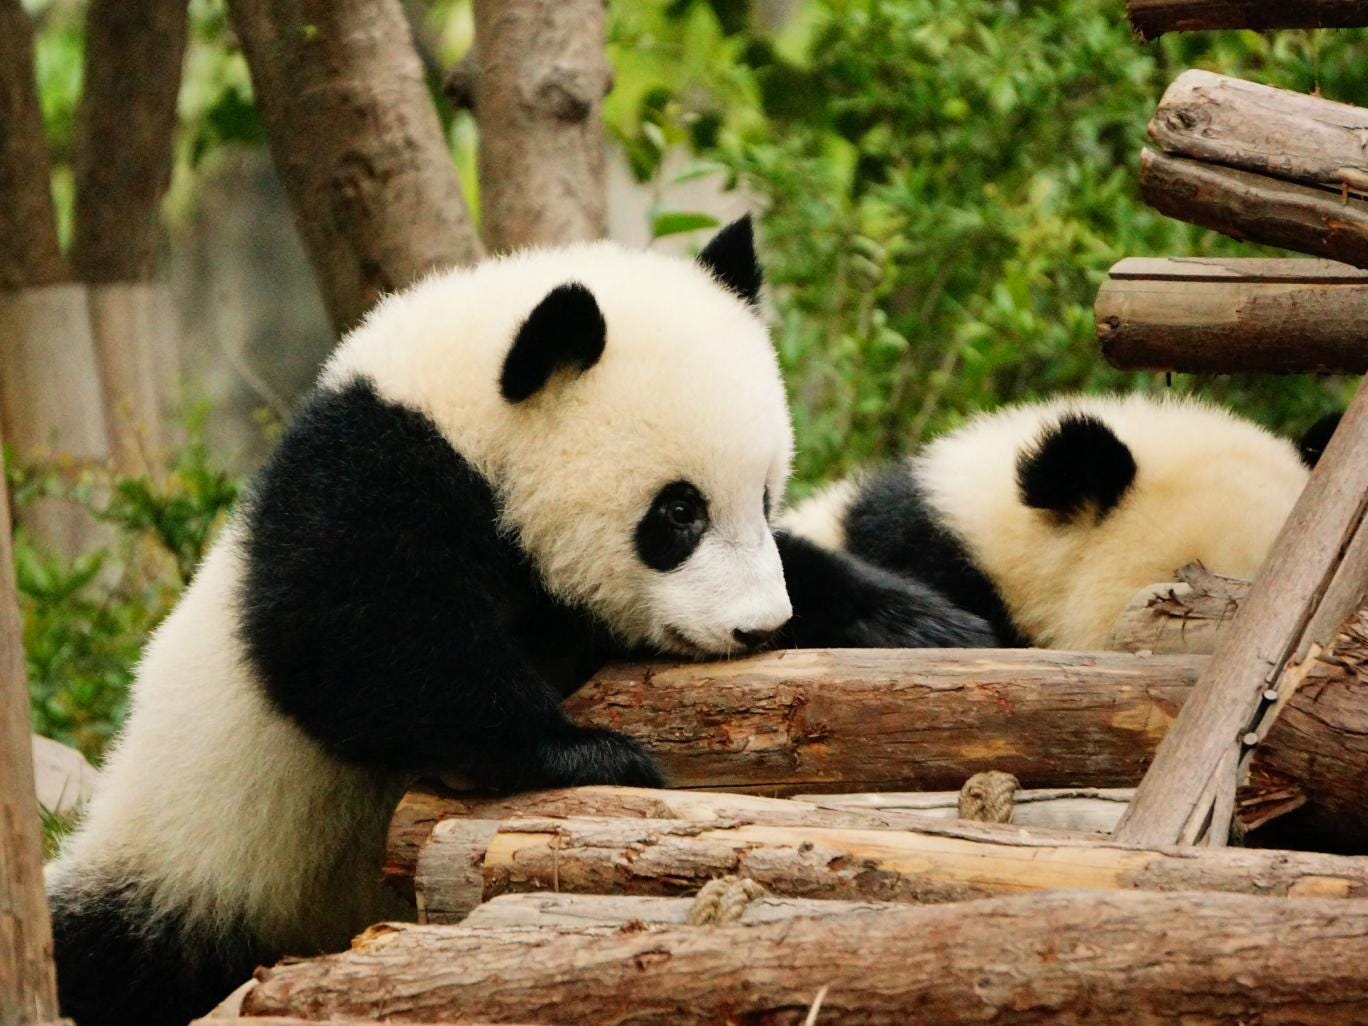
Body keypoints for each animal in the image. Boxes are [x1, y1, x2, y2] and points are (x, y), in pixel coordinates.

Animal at [47, 218, 994, 1026]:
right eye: (677, 512)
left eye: (763, 497)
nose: (759, 628)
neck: (463, 418)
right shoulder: (375, 477)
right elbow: (351, 646)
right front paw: (591, 751)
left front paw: (926, 625)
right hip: (199, 860)